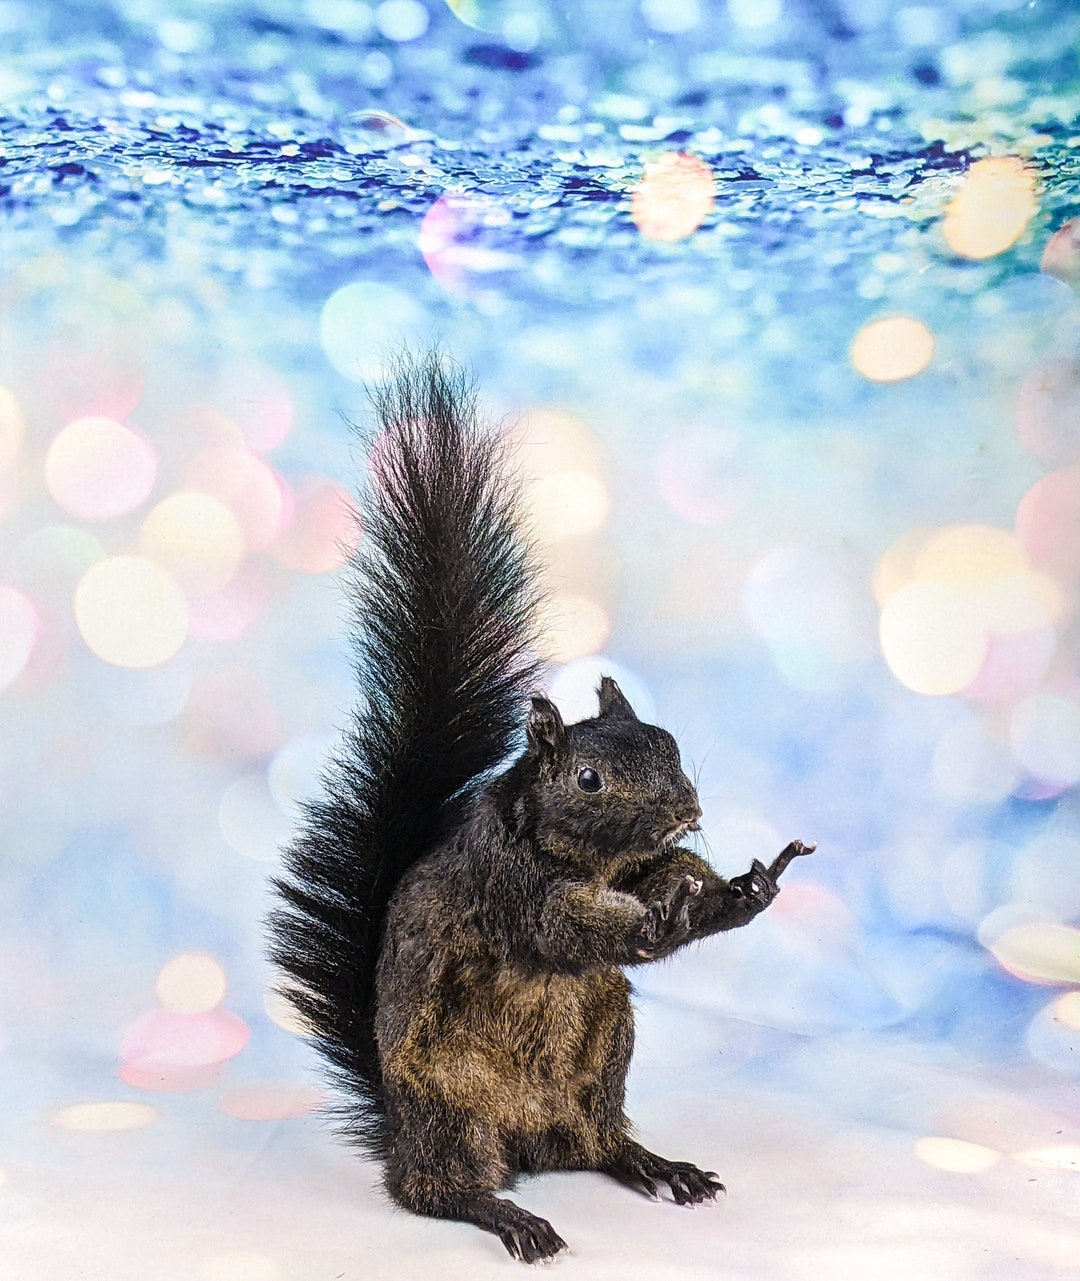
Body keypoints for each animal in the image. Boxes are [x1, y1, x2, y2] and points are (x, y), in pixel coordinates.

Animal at [269, 351, 815, 1263]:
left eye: (670, 742)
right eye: (589, 780)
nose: (685, 807)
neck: (595, 859)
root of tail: (523, 1137)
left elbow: (677, 881)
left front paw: (740, 891)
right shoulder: (508, 887)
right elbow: (562, 929)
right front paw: (655, 919)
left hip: (601, 1061)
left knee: (597, 1146)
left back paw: (657, 1164)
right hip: (450, 1106)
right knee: (437, 1190)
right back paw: (510, 1214)